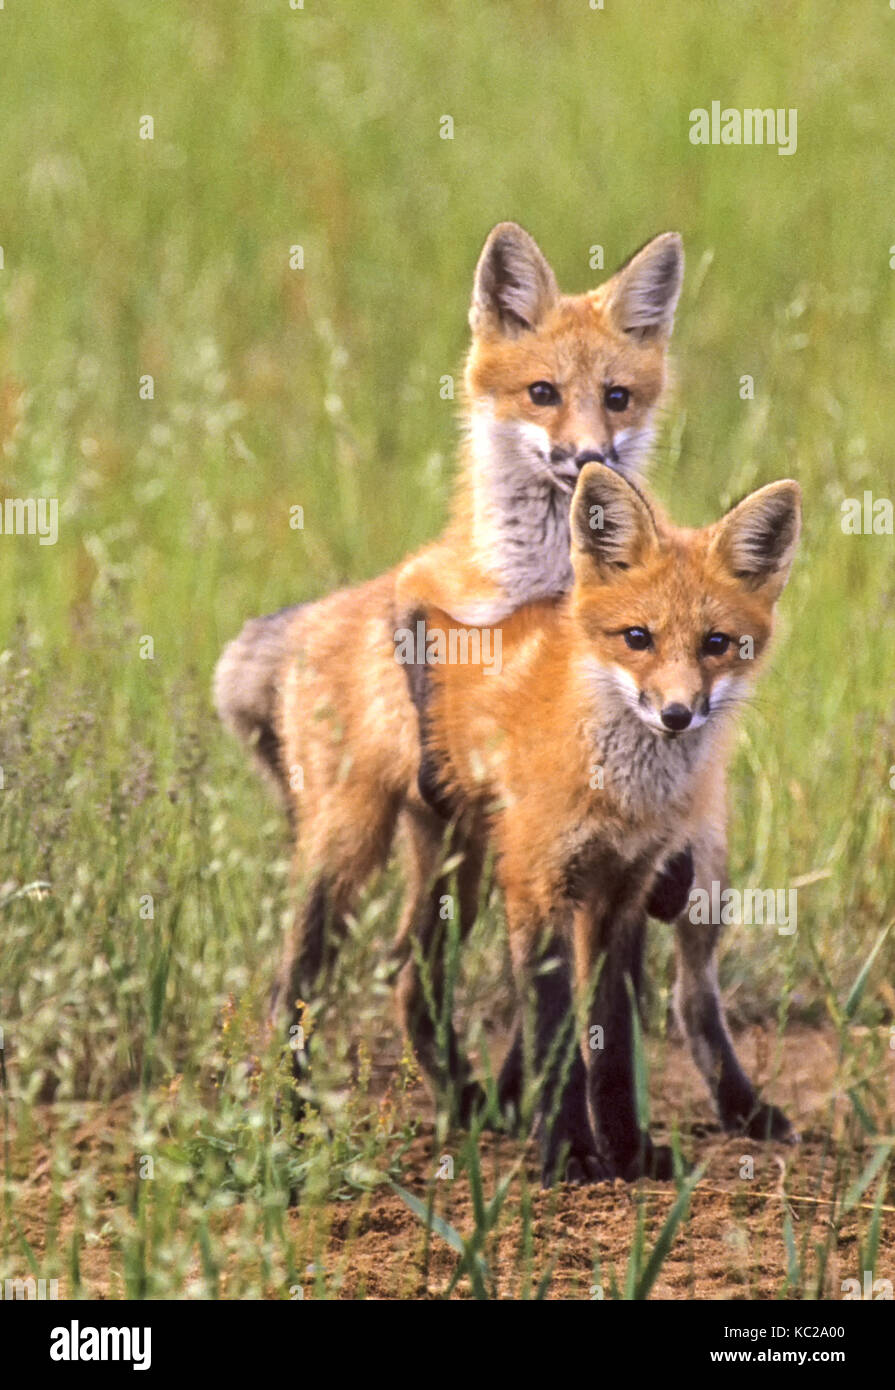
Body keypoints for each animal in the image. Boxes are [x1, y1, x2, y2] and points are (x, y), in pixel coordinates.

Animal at [405, 464, 802, 1181]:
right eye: (637, 637)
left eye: (716, 644)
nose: (677, 714)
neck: (622, 798)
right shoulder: (540, 887)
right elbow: (555, 1030)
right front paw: (569, 1153)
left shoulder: (622, 892)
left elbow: (612, 1038)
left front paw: (625, 1150)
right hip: (467, 876)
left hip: (703, 878)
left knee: (693, 998)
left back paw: (740, 1106)